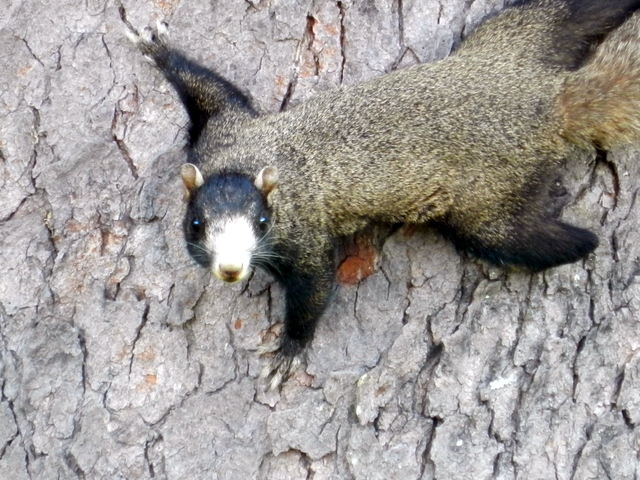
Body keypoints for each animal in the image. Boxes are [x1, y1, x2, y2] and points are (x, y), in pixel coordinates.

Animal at [129, 0, 640, 388]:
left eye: (261, 222)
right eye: (196, 223)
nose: (232, 270)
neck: (245, 162)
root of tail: (551, 101)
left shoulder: (304, 232)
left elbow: (315, 286)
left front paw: (290, 352)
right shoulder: (228, 129)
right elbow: (210, 86)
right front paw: (152, 47)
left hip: (488, 210)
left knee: (542, 240)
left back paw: (588, 242)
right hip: (519, 30)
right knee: (577, 12)